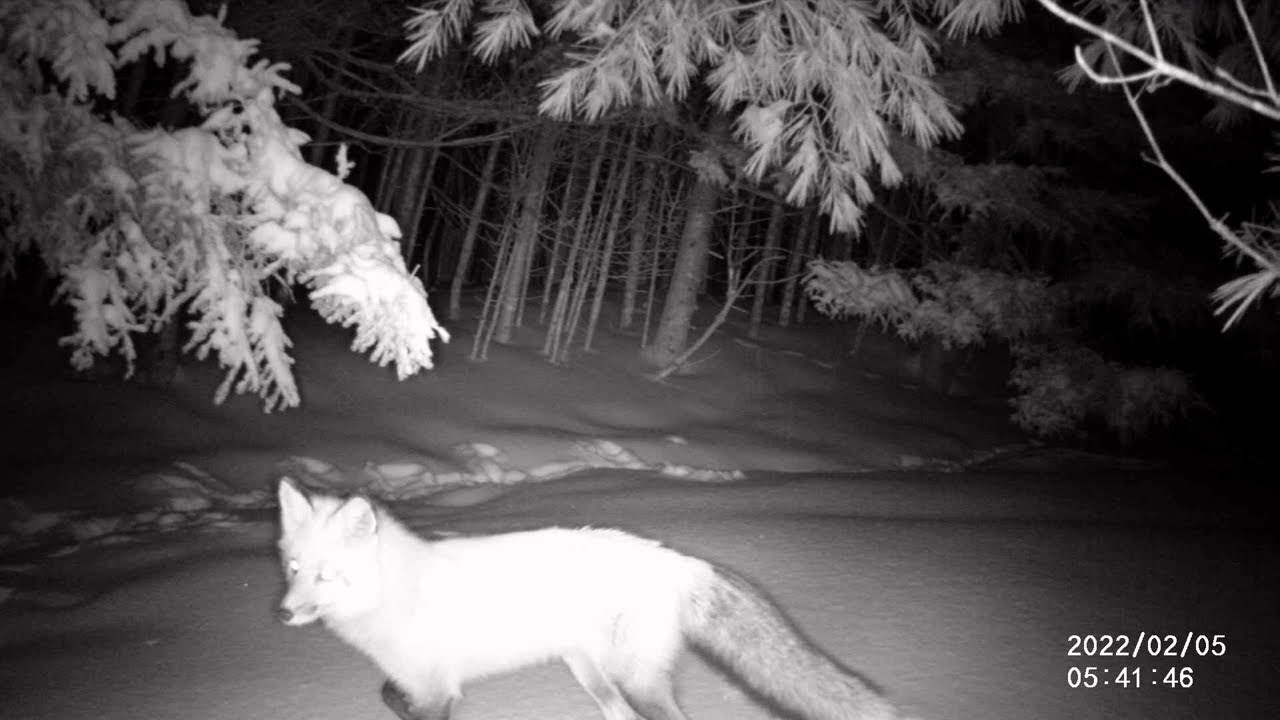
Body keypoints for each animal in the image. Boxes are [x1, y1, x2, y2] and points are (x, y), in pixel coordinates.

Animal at [275, 478, 900, 720]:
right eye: (295, 568)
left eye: (328, 576)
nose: (282, 612)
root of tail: (673, 559)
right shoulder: (421, 682)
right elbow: (388, 695)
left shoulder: (436, 689)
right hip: (590, 671)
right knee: (618, 715)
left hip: (635, 678)